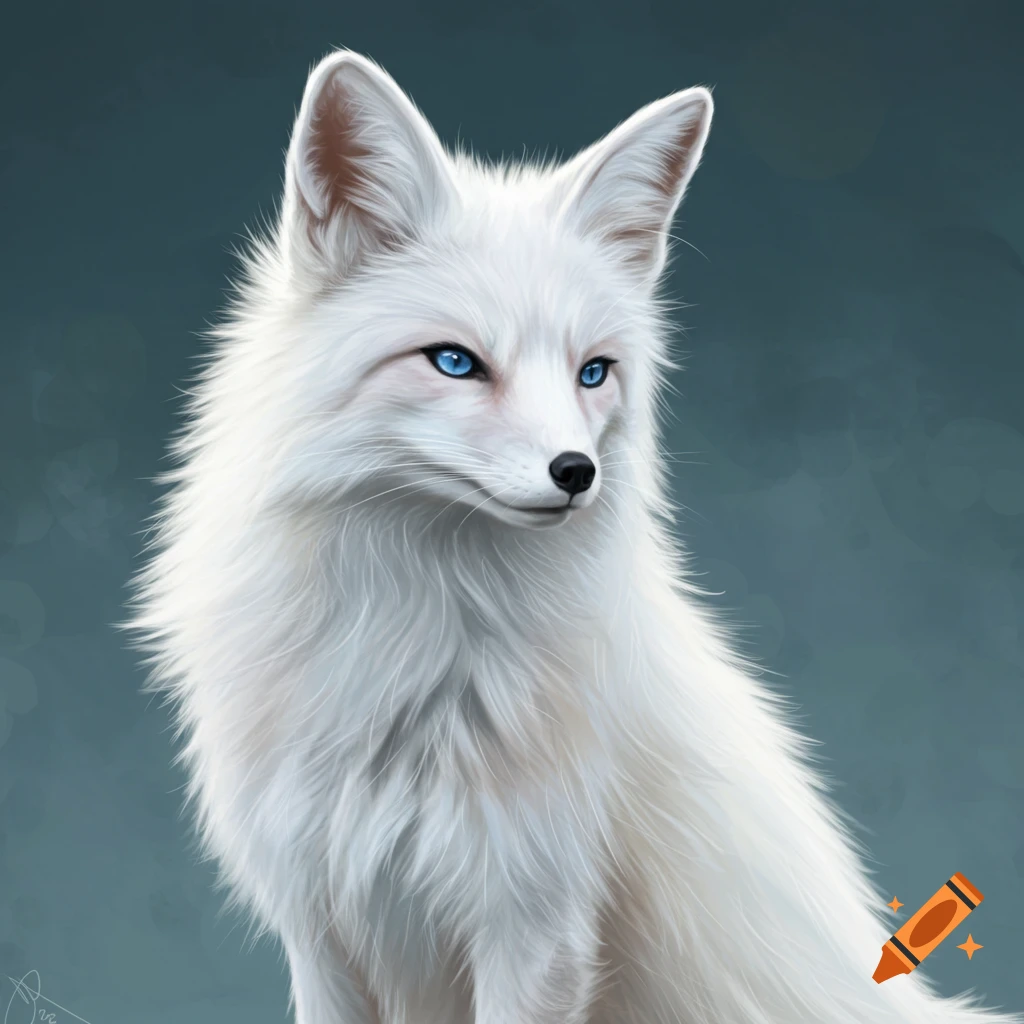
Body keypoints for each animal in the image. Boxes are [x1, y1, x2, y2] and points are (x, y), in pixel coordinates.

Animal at [126, 48, 1021, 1024]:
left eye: (594, 372)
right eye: (454, 362)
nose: (575, 473)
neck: (406, 654)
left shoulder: (534, 917)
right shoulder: (319, 917)